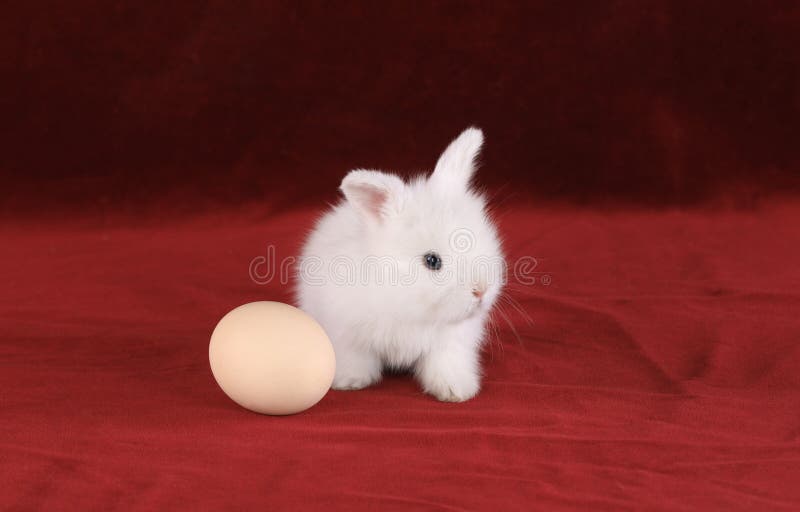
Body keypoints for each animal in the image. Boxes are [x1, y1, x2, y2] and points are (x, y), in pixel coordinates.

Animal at [295, 127, 505, 402]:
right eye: (432, 261)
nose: (481, 290)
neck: (407, 303)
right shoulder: (347, 335)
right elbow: (354, 359)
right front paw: (349, 381)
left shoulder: (450, 342)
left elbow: (446, 363)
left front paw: (455, 391)